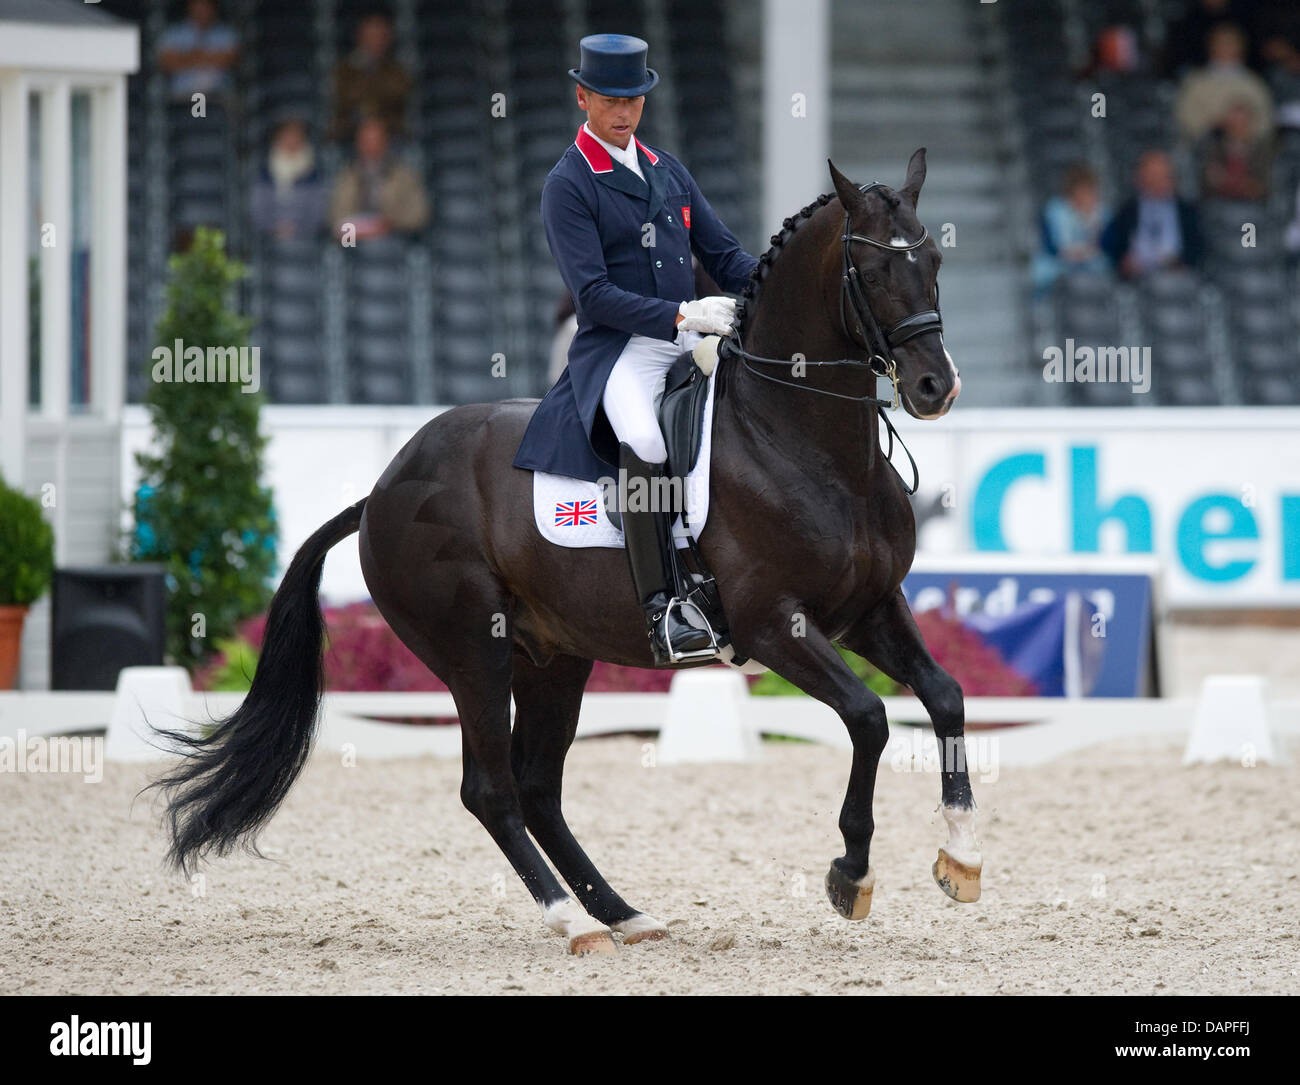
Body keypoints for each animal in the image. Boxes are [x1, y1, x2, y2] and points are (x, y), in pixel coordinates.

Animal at [150, 149, 981, 956]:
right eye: (870, 269)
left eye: (937, 260)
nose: (935, 386)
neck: (803, 440)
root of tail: (382, 488)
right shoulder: (774, 624)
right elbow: (870, 717)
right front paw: (851, 872)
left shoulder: (868, 608)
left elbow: (944, 694)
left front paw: (962, 857)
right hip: (472, 649)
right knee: (491, 789)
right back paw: (572, 920)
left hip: (553, 656)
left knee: (537, 786)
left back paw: (623, 914)